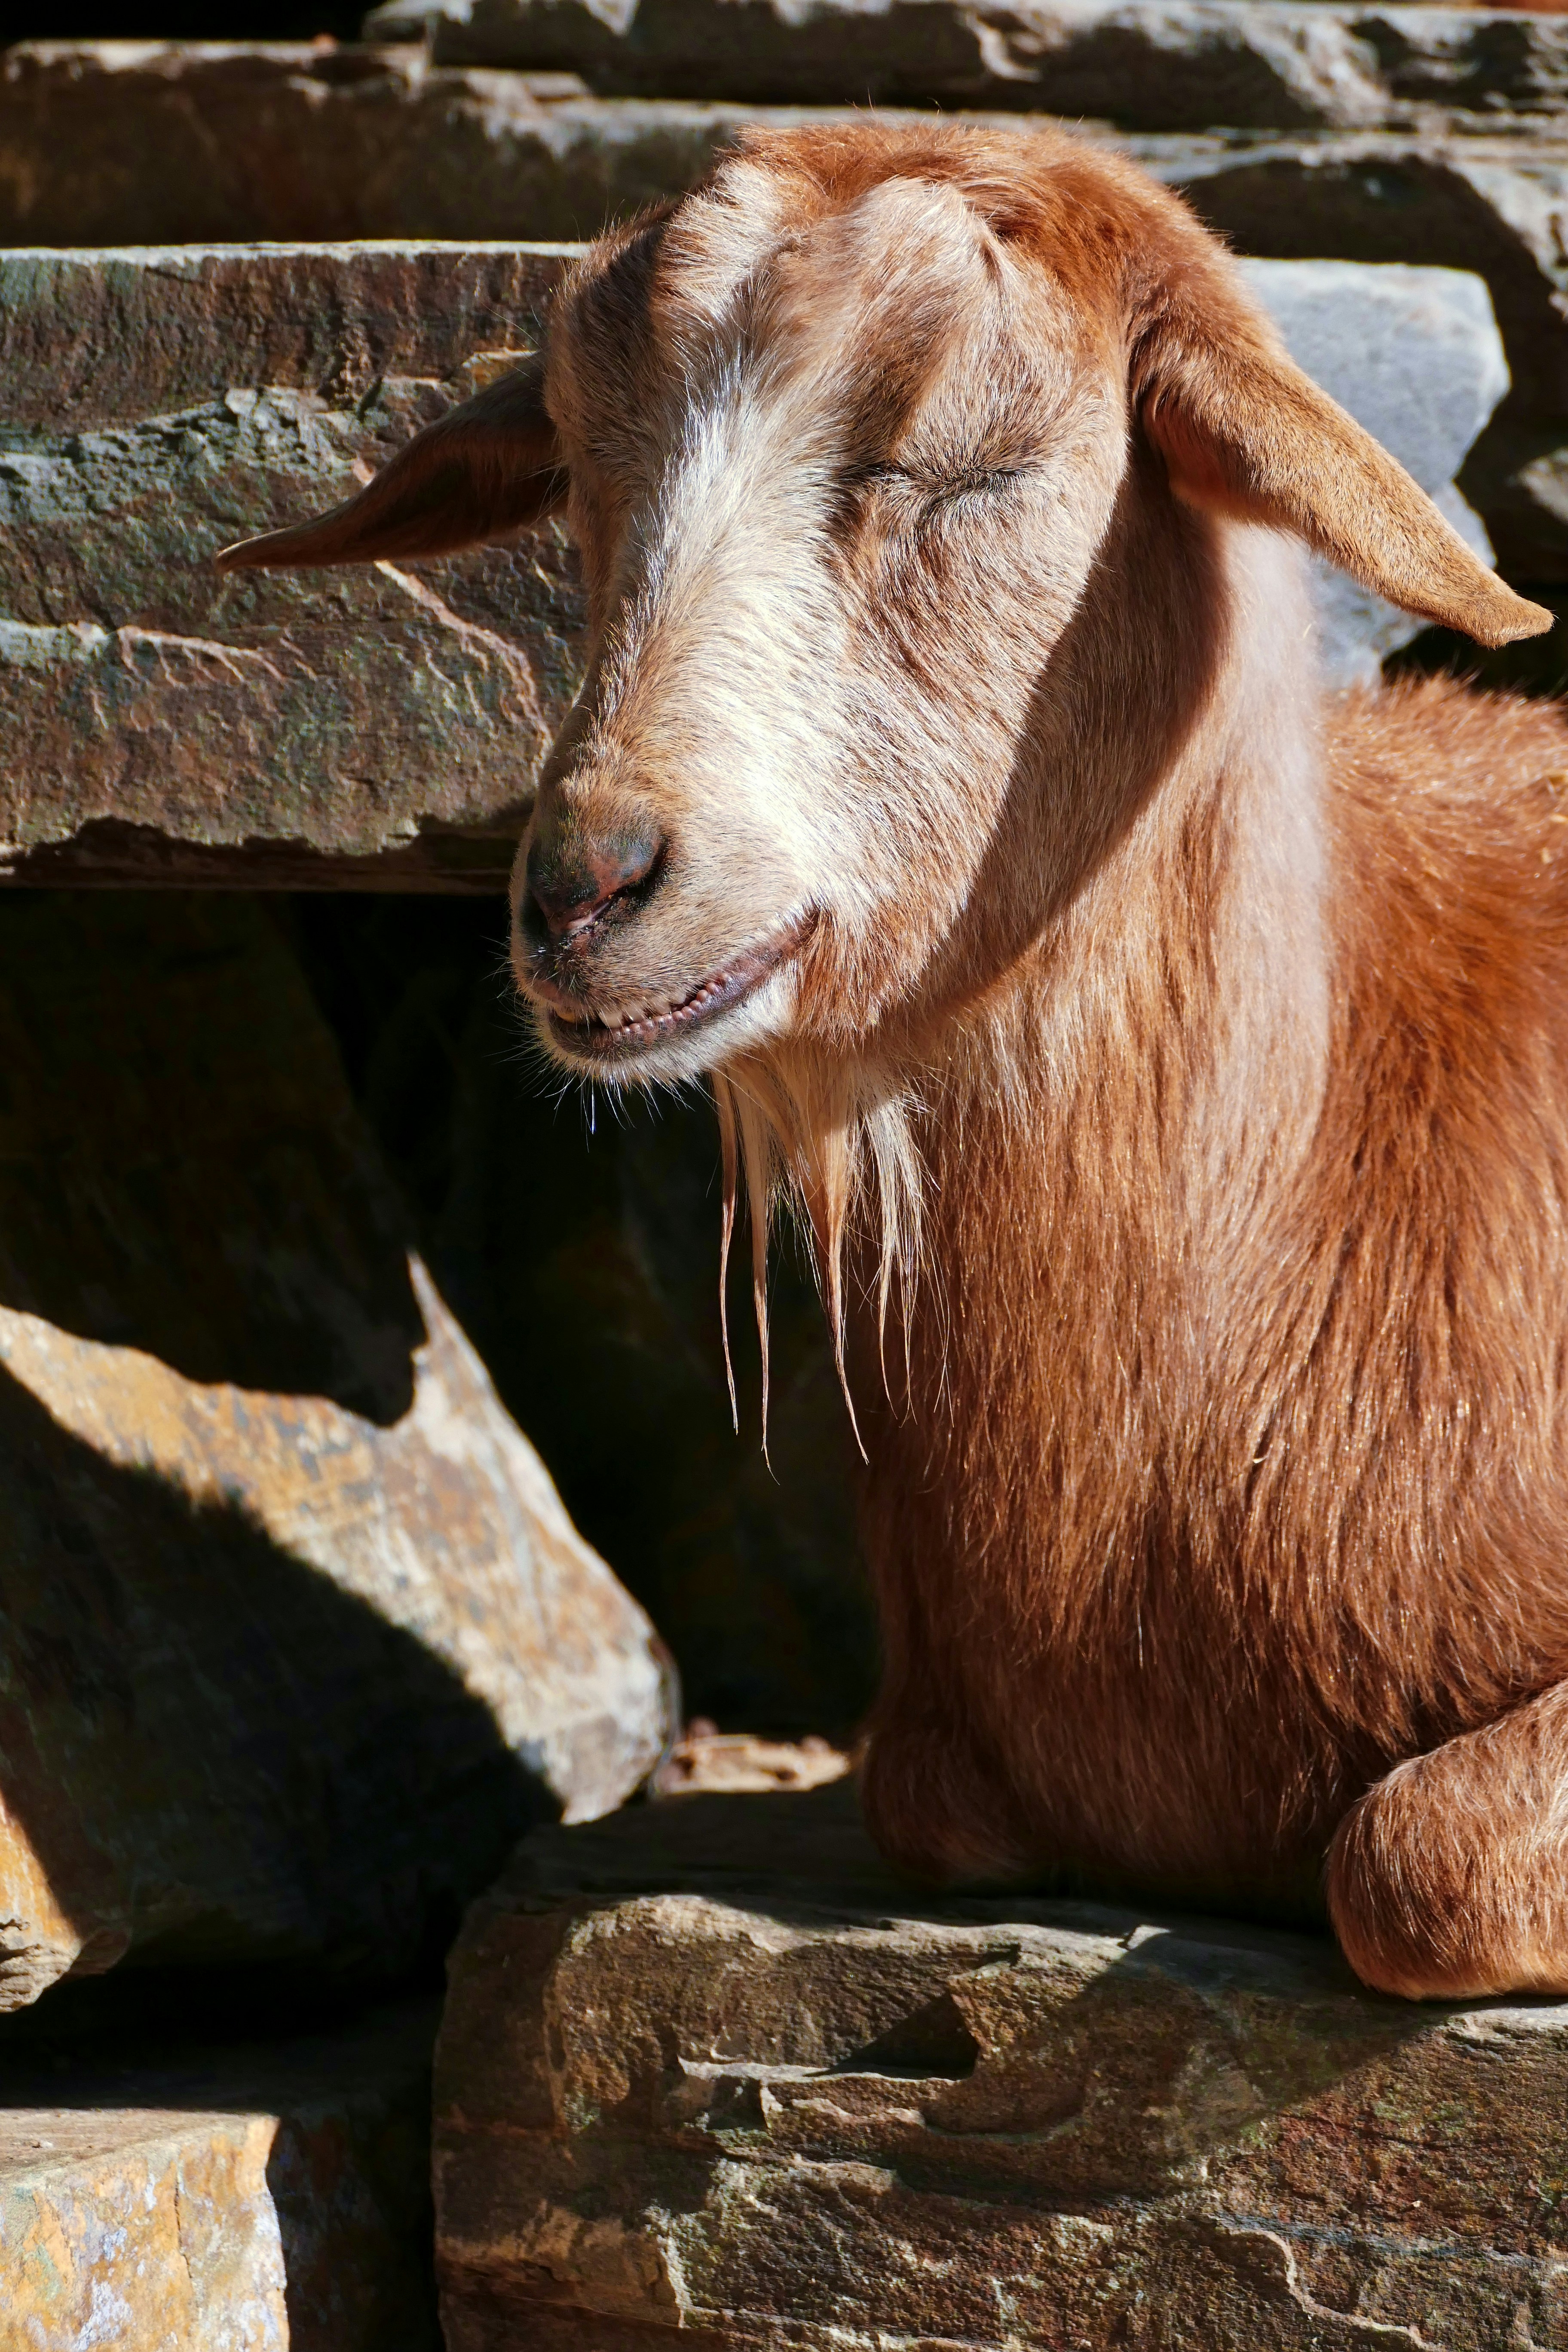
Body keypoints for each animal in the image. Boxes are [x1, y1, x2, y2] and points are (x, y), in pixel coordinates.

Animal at [220, 119, 1568, 2000]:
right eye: (575, 462)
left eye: (976, 464)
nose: (587, 886)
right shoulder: (936, 1761)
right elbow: (930, 1802)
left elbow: (1417, 1856)